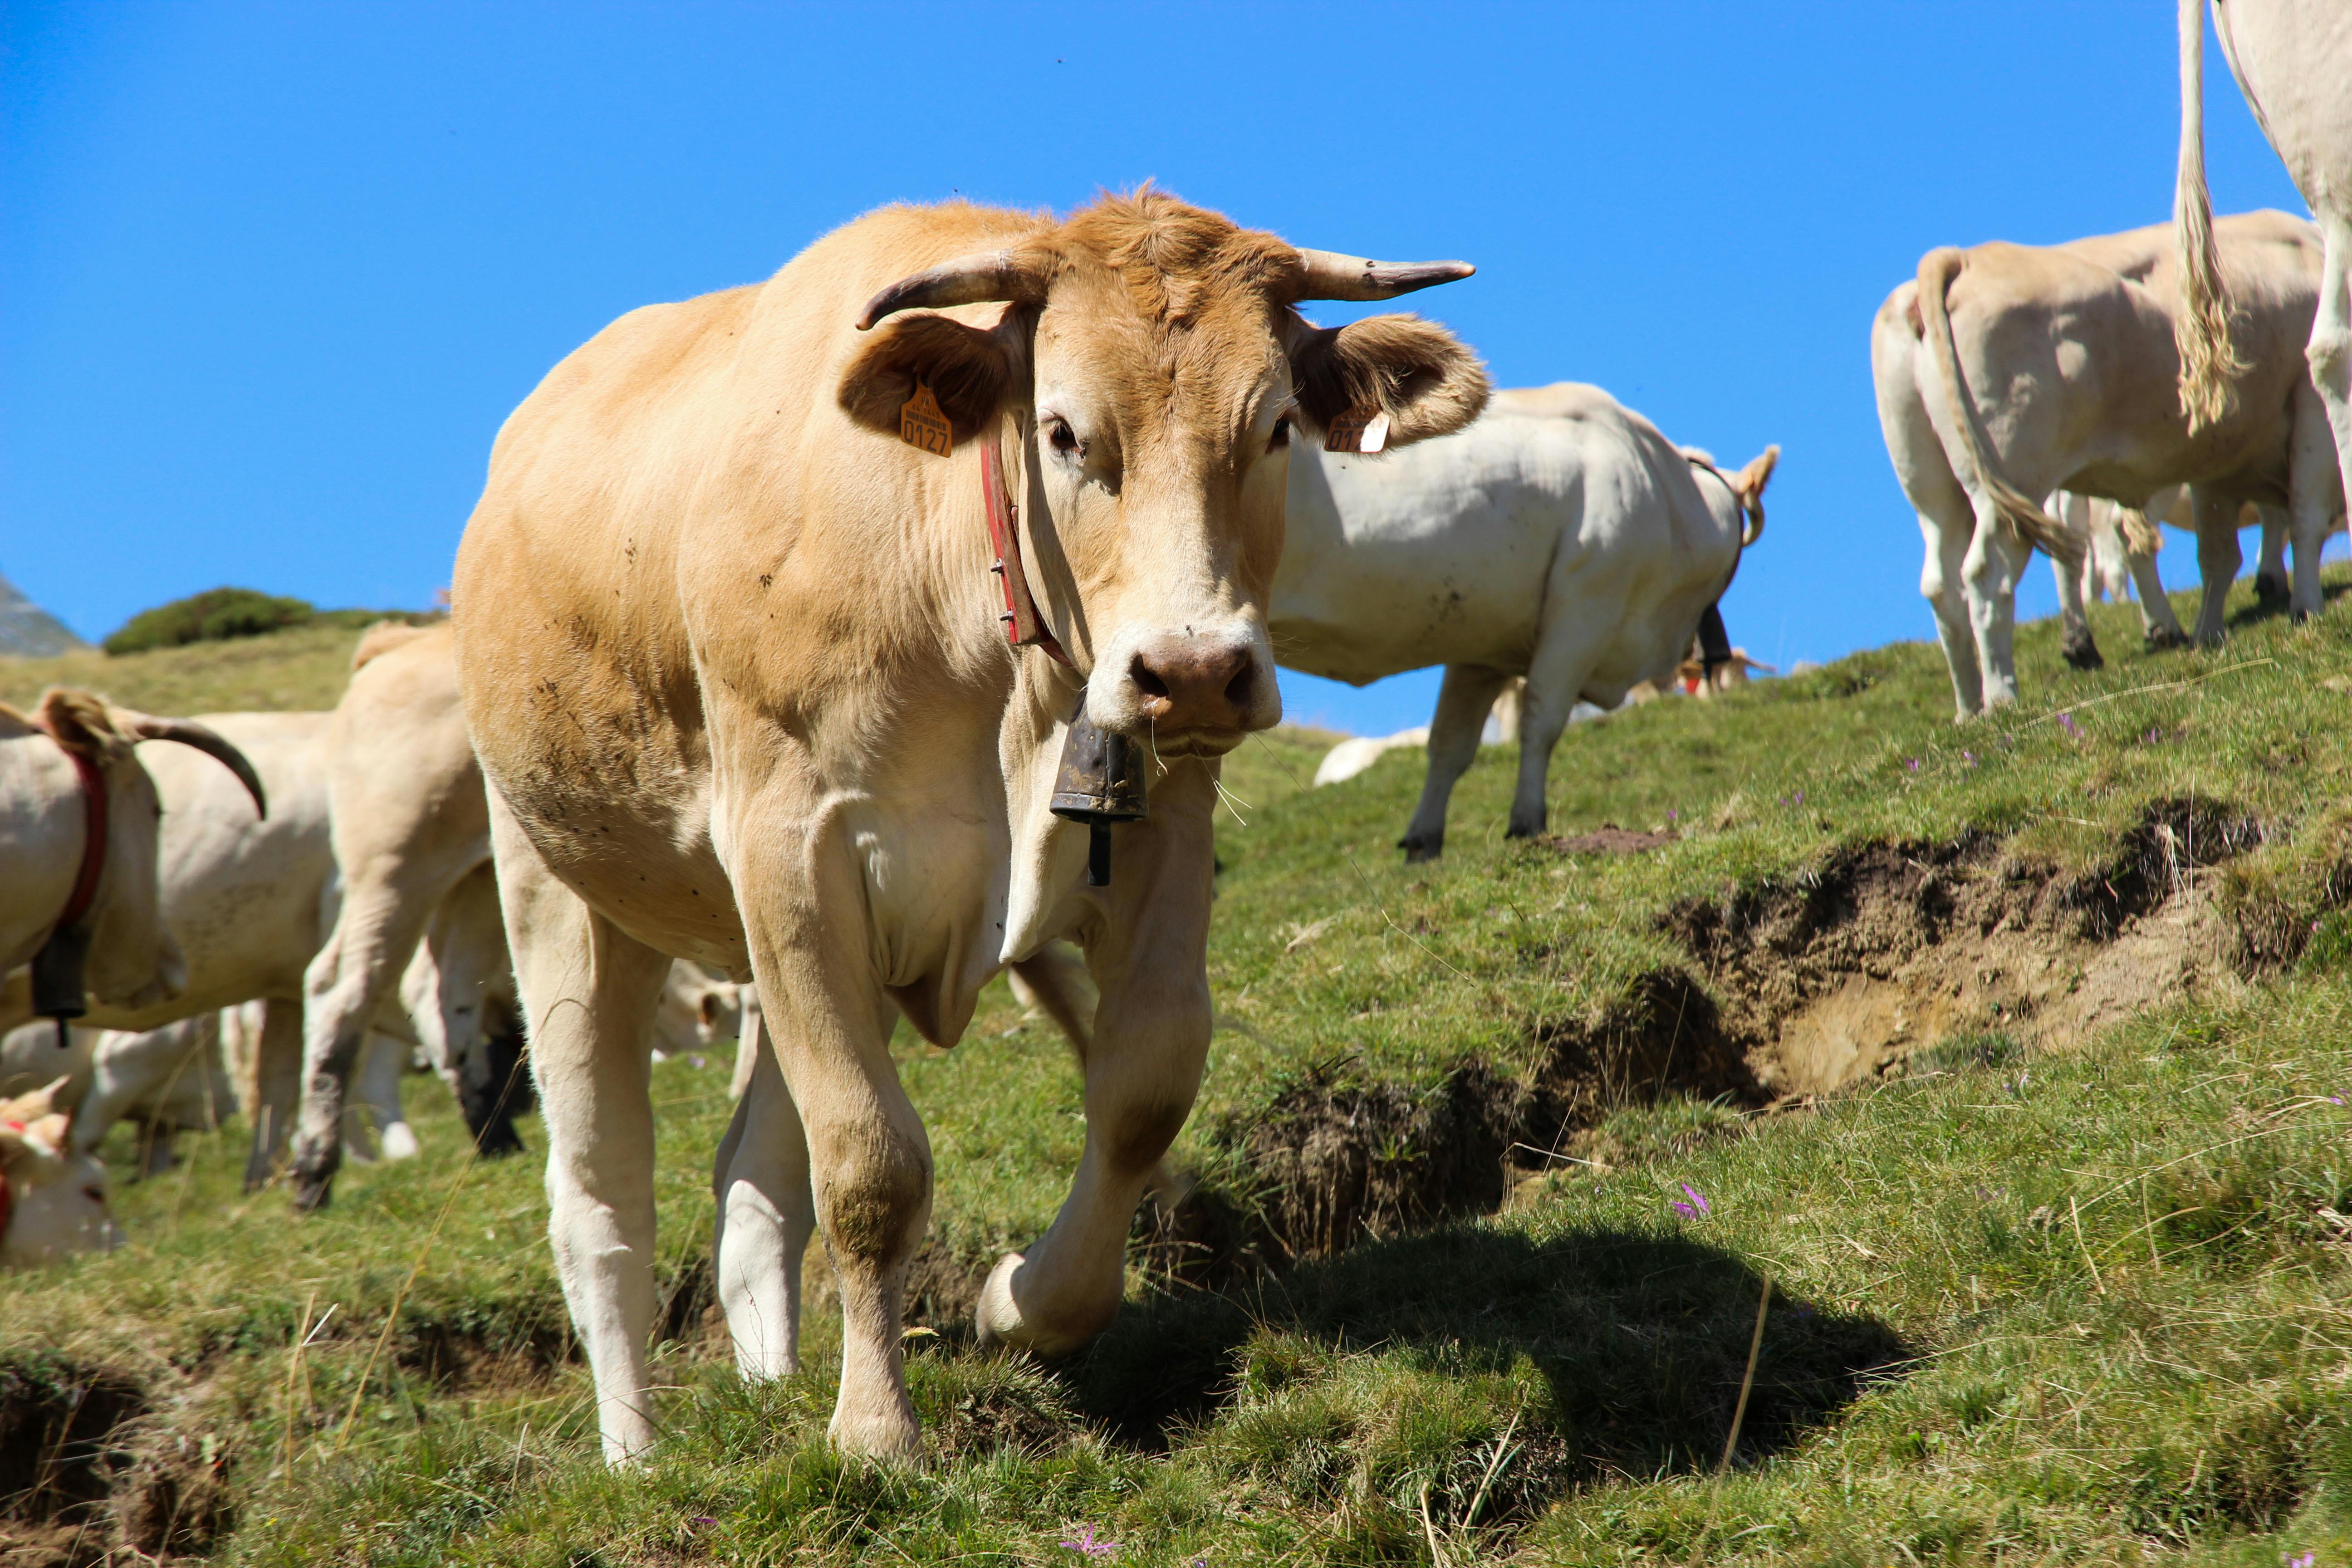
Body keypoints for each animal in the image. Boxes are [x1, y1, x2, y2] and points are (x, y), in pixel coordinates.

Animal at [446, 190, 1486, 1462]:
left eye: (1279, 424)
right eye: (1064, 432)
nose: (1192, 671)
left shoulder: (1161, 830)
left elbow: (1143, 1086)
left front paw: (1016, 1300)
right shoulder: (794, 852)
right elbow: (869, 1163)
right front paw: (873, 1431)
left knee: (752, 1182)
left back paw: (770, 1385)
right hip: (559, 888)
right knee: (600, 1199)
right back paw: (637, 1455)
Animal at [1270, 382, 1773, 859]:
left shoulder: (1481, 646)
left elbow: (1450, 745)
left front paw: (1423, 842)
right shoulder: (1586, 608)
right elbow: (1542, 722)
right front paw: (1528, 822)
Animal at [1873, 210, 2339, 719]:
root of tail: (1963, 258)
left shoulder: (2218, 457)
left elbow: (2220, 555)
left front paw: (2209, 633)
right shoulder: (2310, 402)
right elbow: (2305, 520)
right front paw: (2306, 608)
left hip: (1933, 490)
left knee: (1943, 585)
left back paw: (1969, 708)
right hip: (2013, 481)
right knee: (1988, 573)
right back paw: (2001, 696)